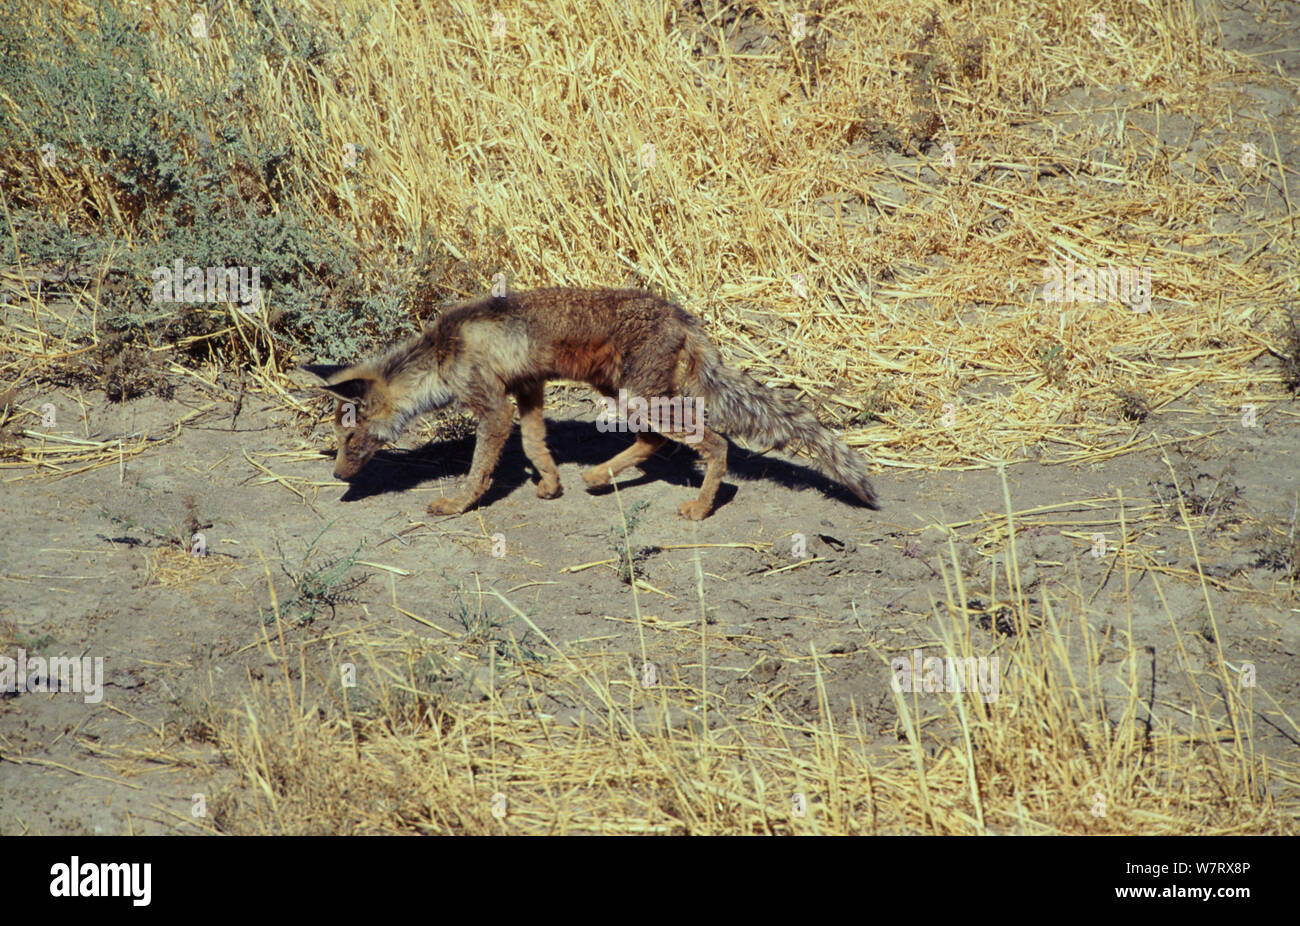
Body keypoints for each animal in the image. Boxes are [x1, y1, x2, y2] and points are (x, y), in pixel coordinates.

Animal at [303, 287, 878, 520]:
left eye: (349, 438)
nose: (335, 475)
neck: (442, 353)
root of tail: (684, 318)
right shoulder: (528, 389)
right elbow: (535, 444)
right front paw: (550, 483)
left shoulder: (493, 407)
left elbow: (481, 468)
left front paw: (458, 504)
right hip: (628, 397)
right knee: (652, 443)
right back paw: (599, 476)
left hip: (642, 400)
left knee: (716, 444)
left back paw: (699, 507)